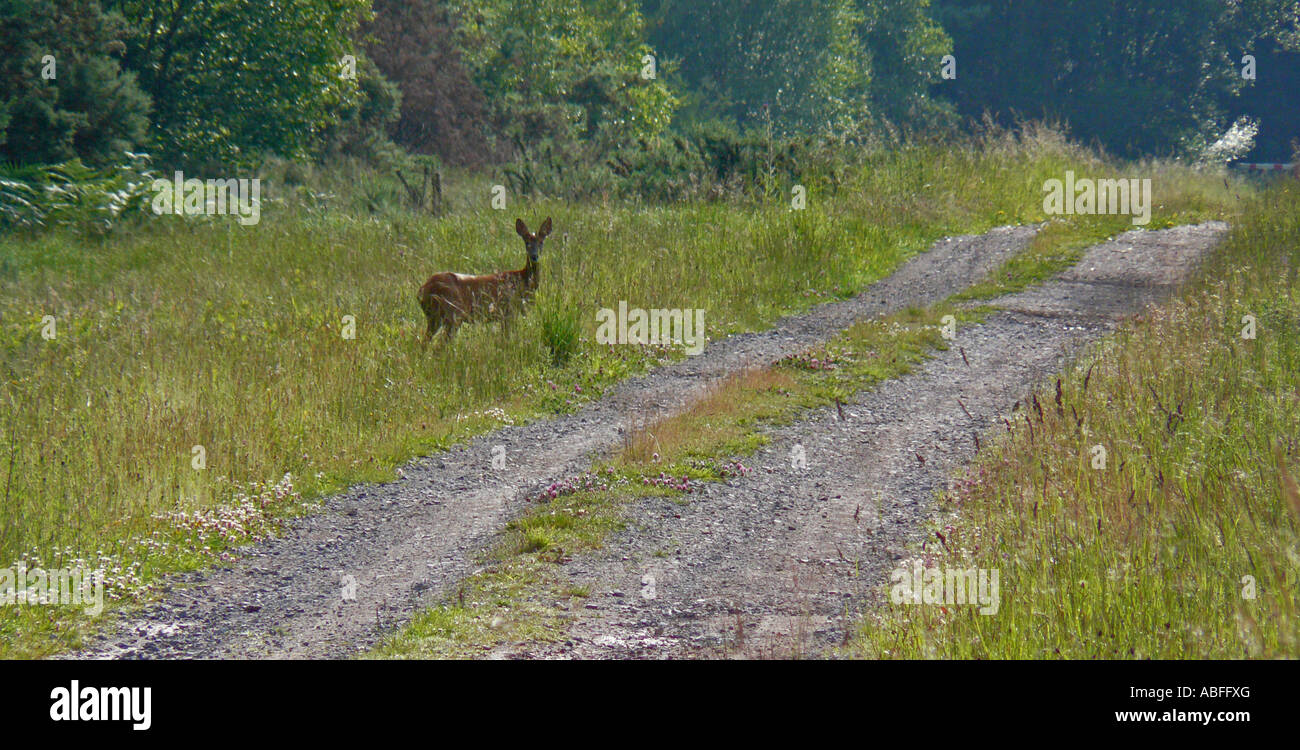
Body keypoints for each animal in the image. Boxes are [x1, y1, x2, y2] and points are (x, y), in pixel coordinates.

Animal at [417, 217, 552, 345]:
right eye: (527, 242)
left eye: (541, 242)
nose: (534, 256)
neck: (522, 281)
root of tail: (423, 289)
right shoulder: (509, 311)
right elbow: (506, 339)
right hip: (453, 314)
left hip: (434, 317)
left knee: (424, 343)